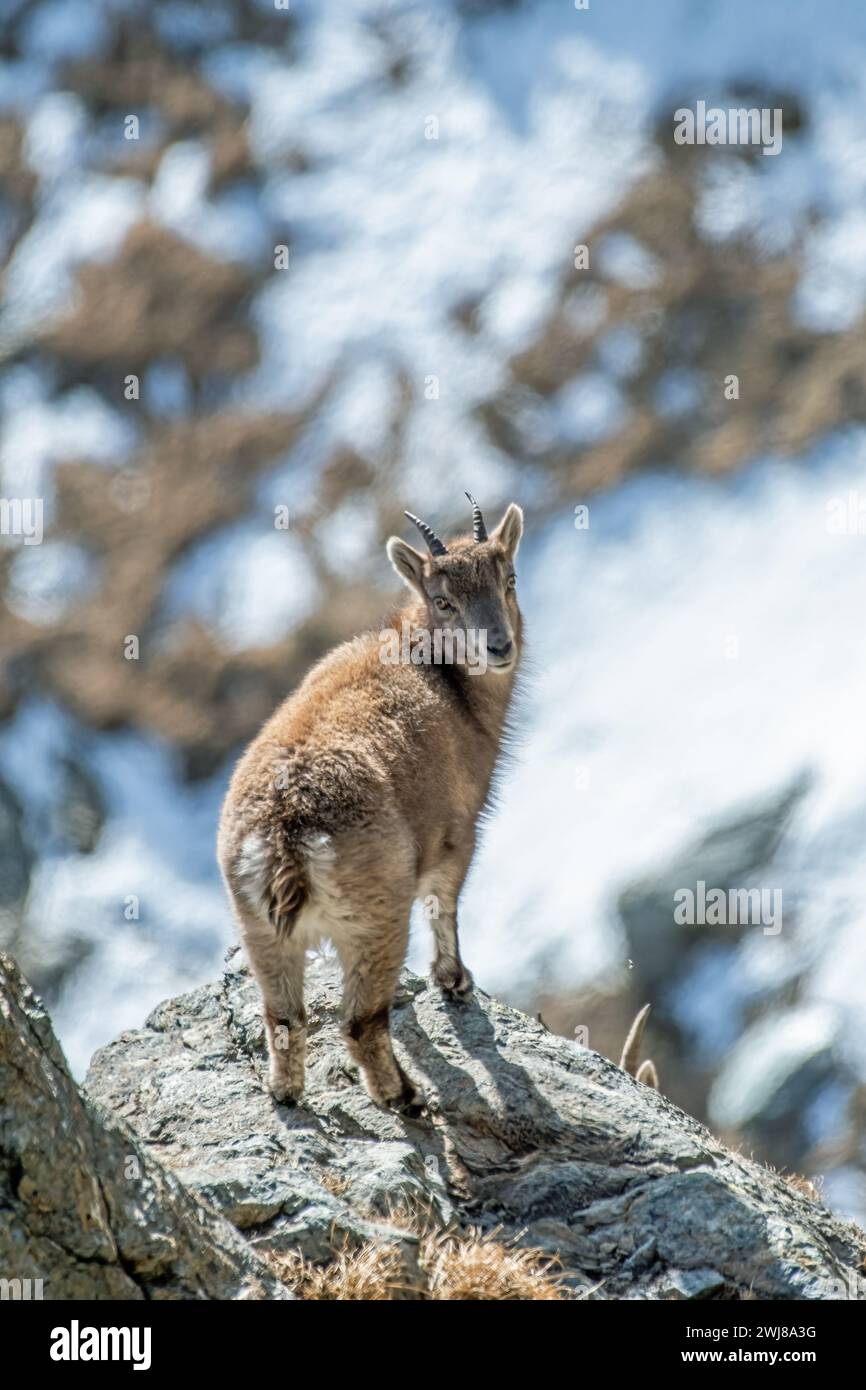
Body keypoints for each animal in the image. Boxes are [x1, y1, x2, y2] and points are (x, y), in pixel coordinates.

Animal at [217, 496, 524, 1113]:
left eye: (509, 580)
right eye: (444, 600)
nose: (499, 647)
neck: (443, 678)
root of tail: (285, 831)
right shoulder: (458, 833)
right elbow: (444, 905)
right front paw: (454, 980)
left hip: (257, 926)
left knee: (283, 1016)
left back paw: (286, 1092)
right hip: (374, 915)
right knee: (359, 1021)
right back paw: (403, 1097)